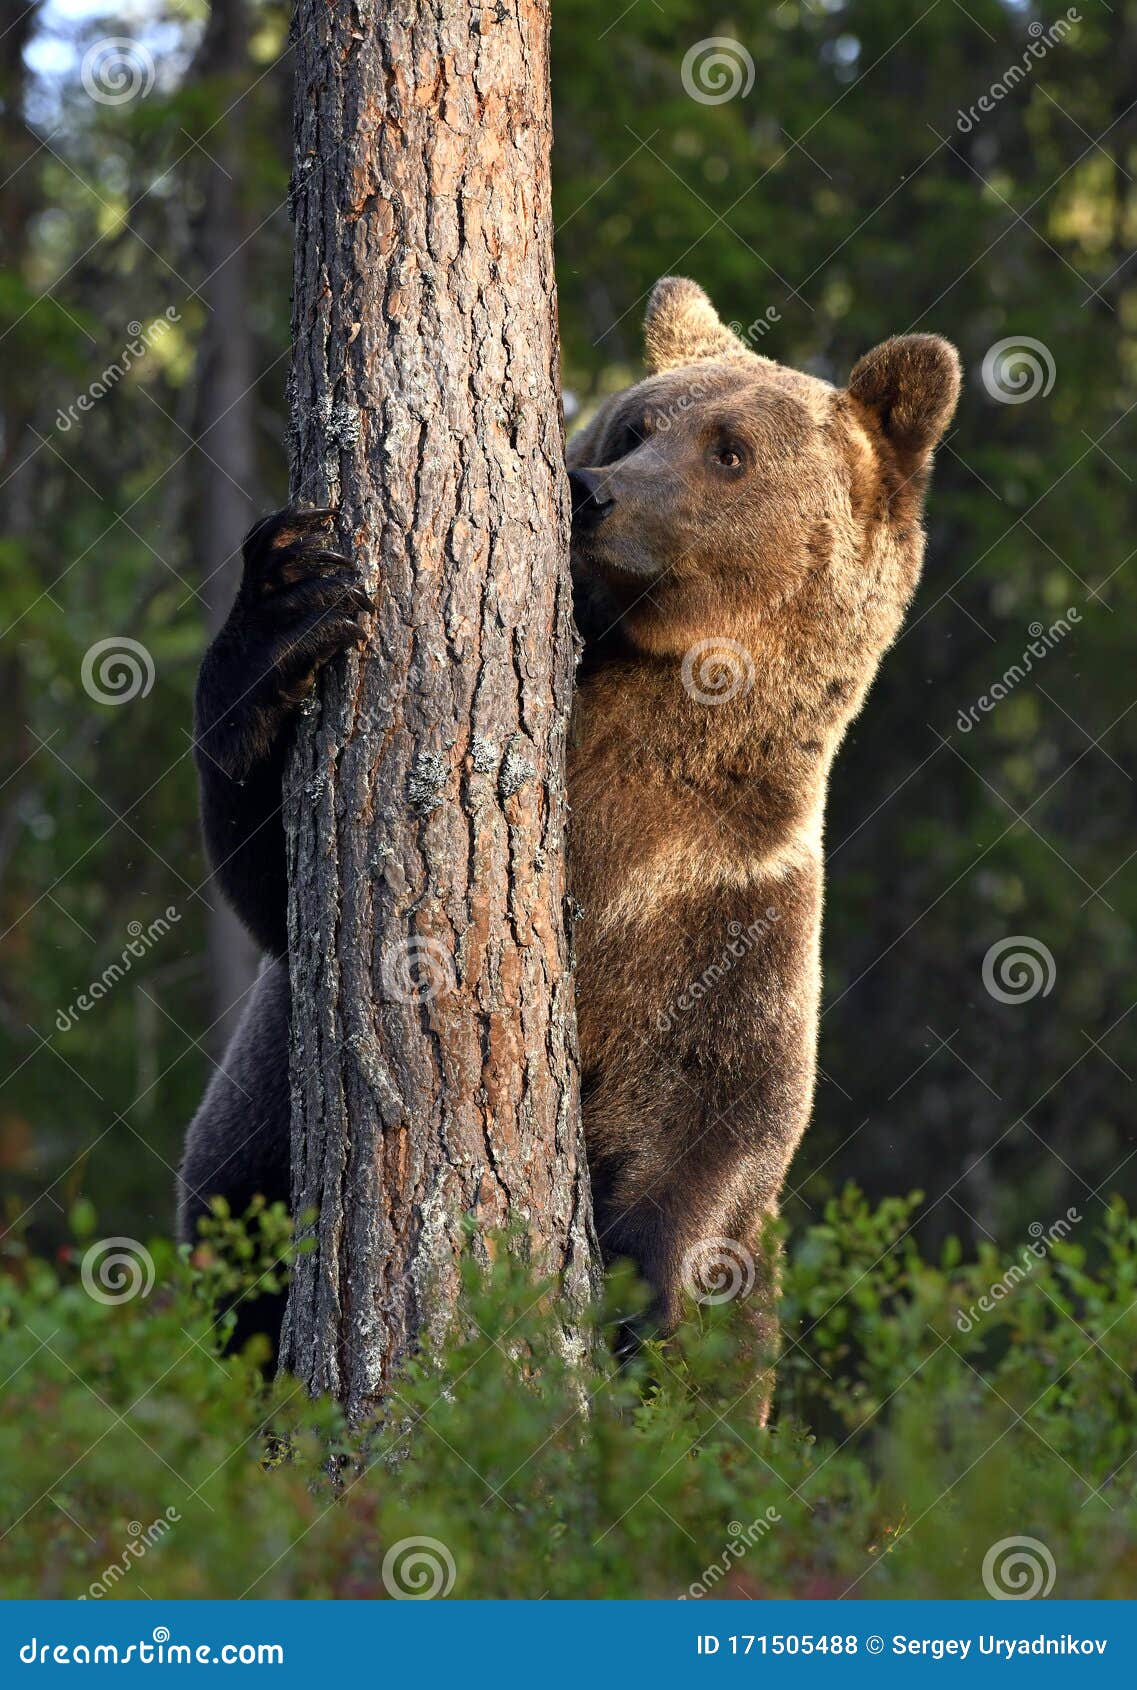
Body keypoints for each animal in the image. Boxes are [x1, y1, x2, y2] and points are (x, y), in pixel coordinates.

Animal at [179, 277, 959, 1376]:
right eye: (635, 425)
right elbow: (275, 885)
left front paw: (642, 1302)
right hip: (244, 1160)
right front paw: (292, 595)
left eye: (729, 450)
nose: (594, 489)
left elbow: (719, 1113)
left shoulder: (726, 909)